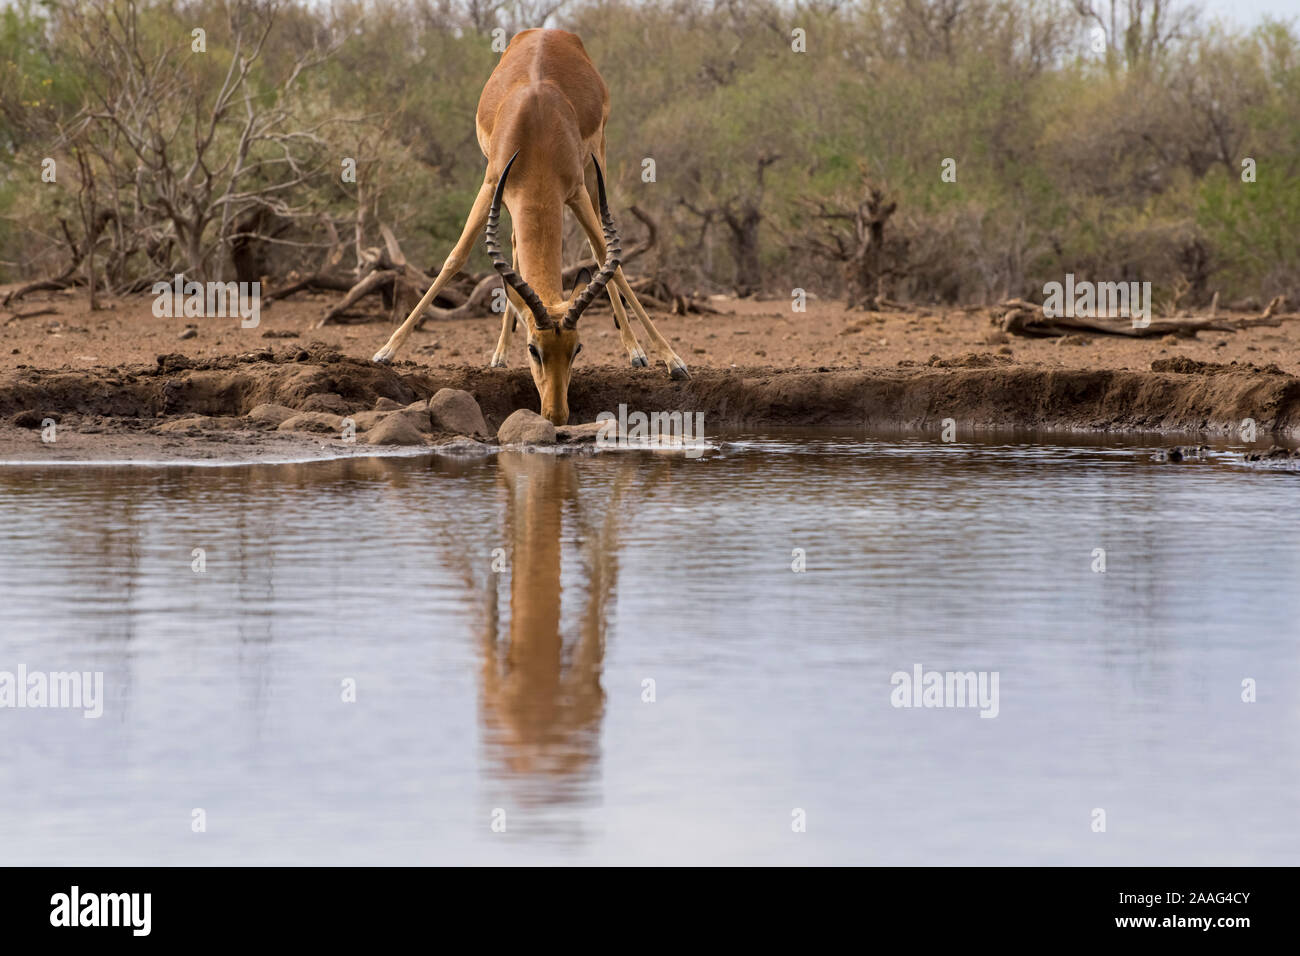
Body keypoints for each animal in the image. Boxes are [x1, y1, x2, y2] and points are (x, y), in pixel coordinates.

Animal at [371, 28, 690, 425]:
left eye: (577, 349)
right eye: (533, 349)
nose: (555, 415)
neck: (536, 131)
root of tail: (547, 31)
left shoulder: (576, 191)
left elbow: (607, 259)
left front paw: (674, 361)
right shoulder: (492, 184)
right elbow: (456, 257)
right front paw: (385, 351)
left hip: (596, 162)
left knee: (599, 250)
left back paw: (635, 352)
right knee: (512, 245)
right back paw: (498, 355)